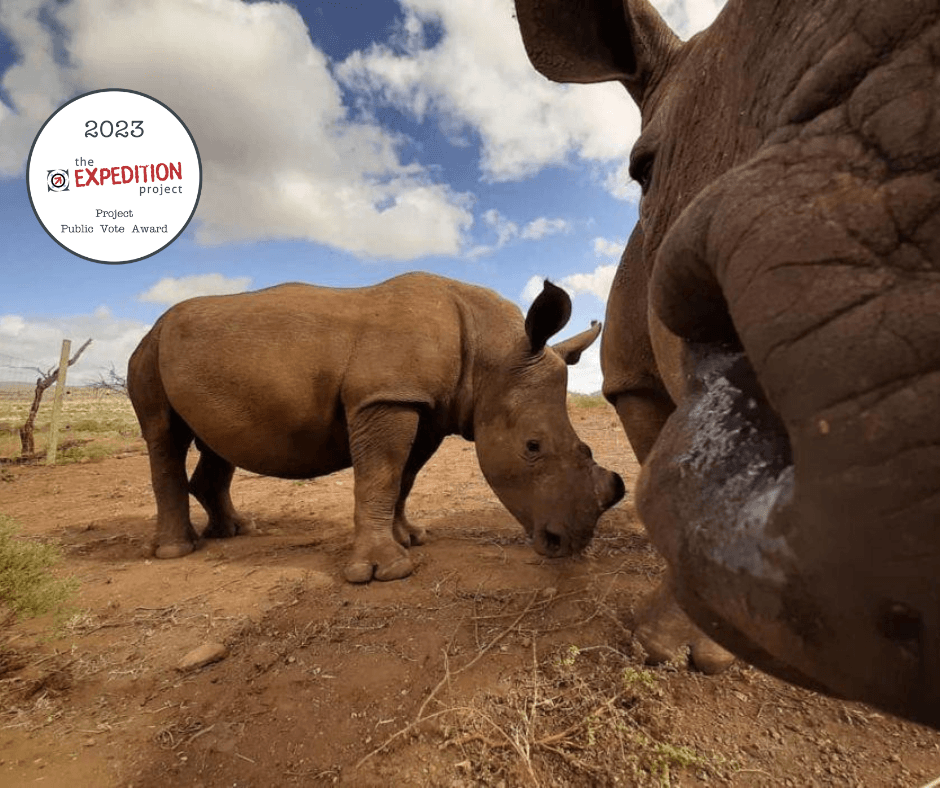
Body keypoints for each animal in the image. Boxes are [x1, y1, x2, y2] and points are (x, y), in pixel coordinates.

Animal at [127, 272, 625, 583]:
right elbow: (379, 476)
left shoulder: (423, 406)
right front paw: (384, 572)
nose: (569, 542)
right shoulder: (386, 397)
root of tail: (155, 325)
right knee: (163, 435)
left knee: (216, 443)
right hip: (149, 350)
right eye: (532, 446)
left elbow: (403, 478)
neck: (491, 355)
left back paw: (236, 530)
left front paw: (411, 539)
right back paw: (176, 551)